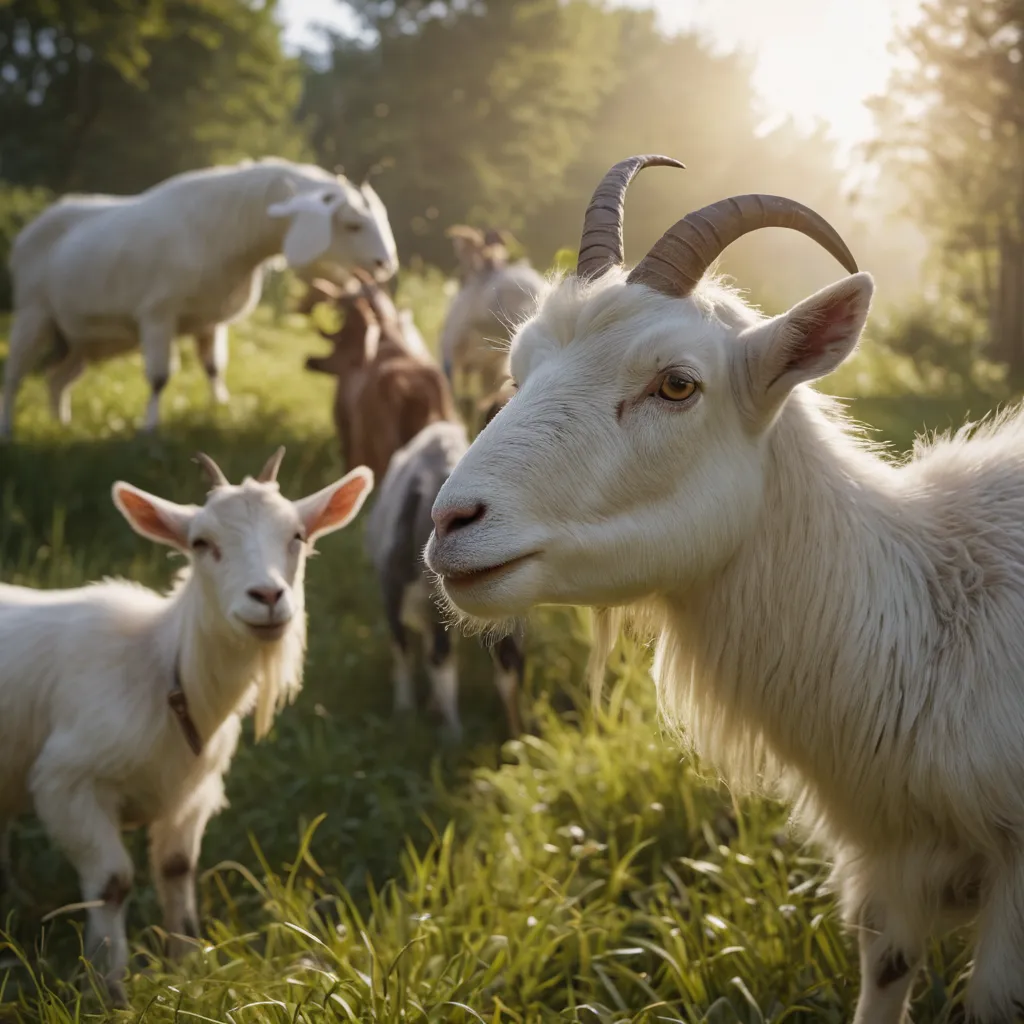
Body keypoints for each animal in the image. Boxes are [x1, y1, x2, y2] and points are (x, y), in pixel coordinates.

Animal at [0, 450, 372, 1004]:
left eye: (297, 536)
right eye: (201, 543)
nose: (268, 596)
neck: (162, 666)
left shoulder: (191, 794)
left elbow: (176, 869)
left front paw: (188, 971)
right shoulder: (67, 784)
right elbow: (113, 882)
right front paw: (109, 991)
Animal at [2, 158, 398, 438]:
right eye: (352, 225)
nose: (386, 264)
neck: (225, 233)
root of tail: (26, 234)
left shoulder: (210, 320)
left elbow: (214, 367)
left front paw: (221, 410)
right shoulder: (157, 313)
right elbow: (159, 377)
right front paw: (149, 432)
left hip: (82, 339)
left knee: (57, 379)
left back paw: (61, 426)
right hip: (34, 312)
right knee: (15, 374)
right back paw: (8, 431)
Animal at [426, 154, 1024, 1024]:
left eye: (677, 384)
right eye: (519, 370)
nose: (450, 520)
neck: (932, 625)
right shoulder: (891, 872)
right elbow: (884, 971)